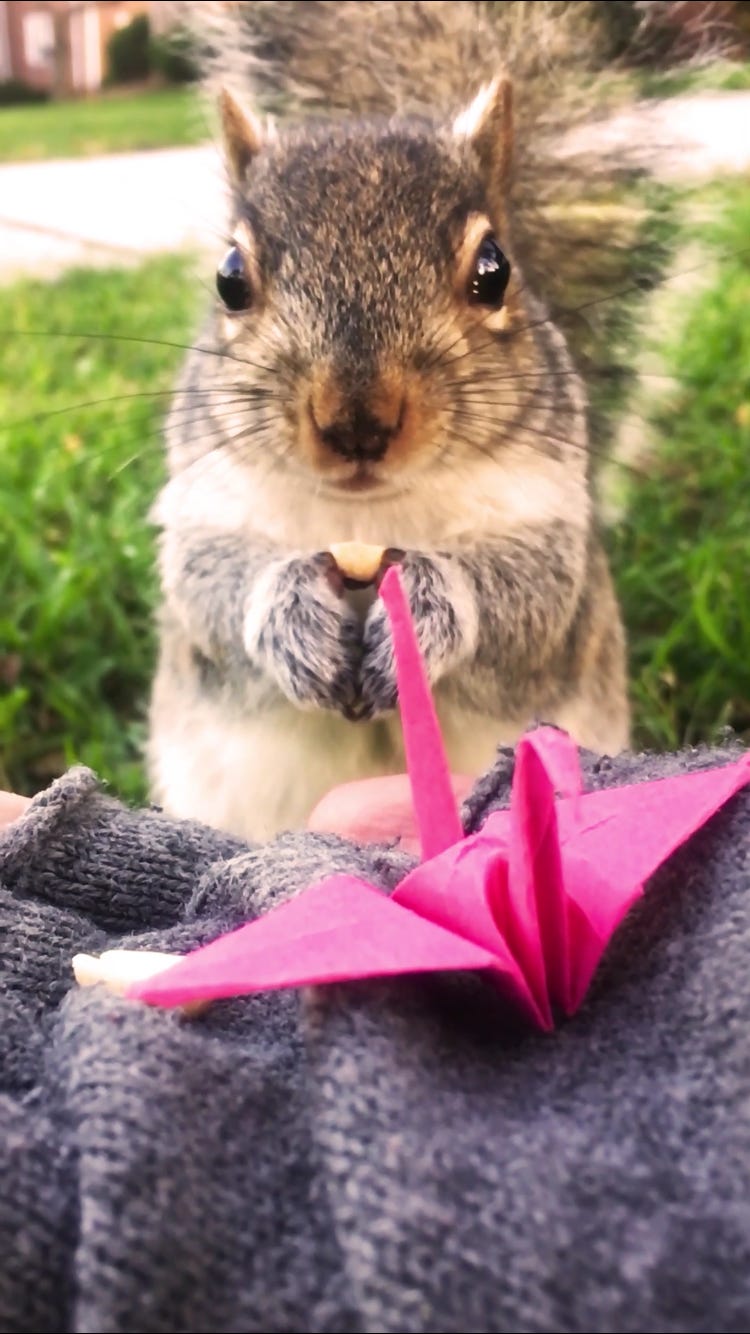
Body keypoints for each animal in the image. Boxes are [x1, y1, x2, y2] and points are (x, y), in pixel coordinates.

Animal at [148, 0, 633, 841]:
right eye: (230, 279)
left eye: (494, 270)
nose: (356, 423)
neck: (367, 516)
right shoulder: (207, 502)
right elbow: (210, 591)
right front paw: (289, 612)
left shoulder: (549, 517)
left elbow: (531, 600)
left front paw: (433, 603)